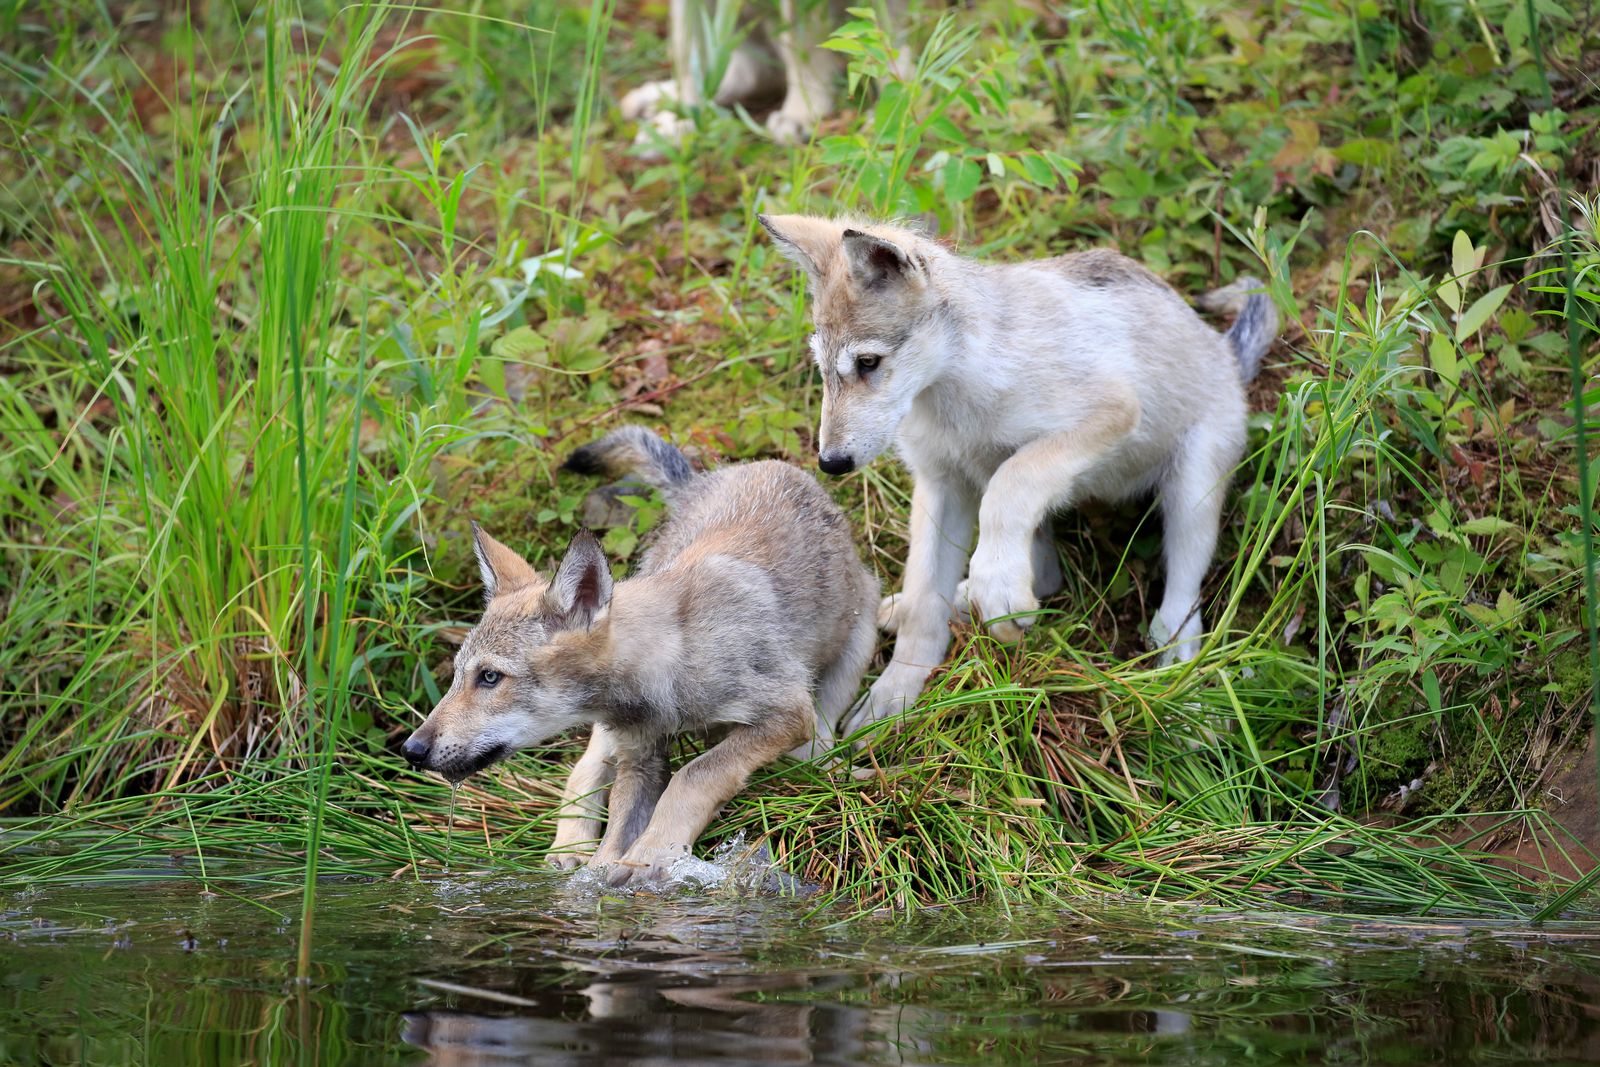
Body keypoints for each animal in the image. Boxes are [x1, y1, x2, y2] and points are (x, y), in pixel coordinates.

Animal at [401, 427, 878, 884]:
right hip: (611, 738)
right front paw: (602, 874)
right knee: (583, 769)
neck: (673, 662)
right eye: (458, 675)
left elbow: (693, 776)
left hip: (853, 652)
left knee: (819, 745)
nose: (411, 749)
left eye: (490, 677)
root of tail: (720, 473)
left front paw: (653, 854)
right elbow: (615, 834)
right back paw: (567, 848)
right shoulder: (639, 757)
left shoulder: (787, 713)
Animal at [758, 214, 1278, 730]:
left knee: (1182, 603)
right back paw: (955, 598)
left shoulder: (1107, 415)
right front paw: (895, 694)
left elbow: (1009, 487)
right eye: (822, 368)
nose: (830, 463)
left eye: (868, 362)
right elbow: (925, 599)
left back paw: (1183, 690)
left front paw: (997, 590)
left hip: (1192, 495)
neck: (954, 384)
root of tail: (1227, 353)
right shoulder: (940, 485)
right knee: (1045, 574)